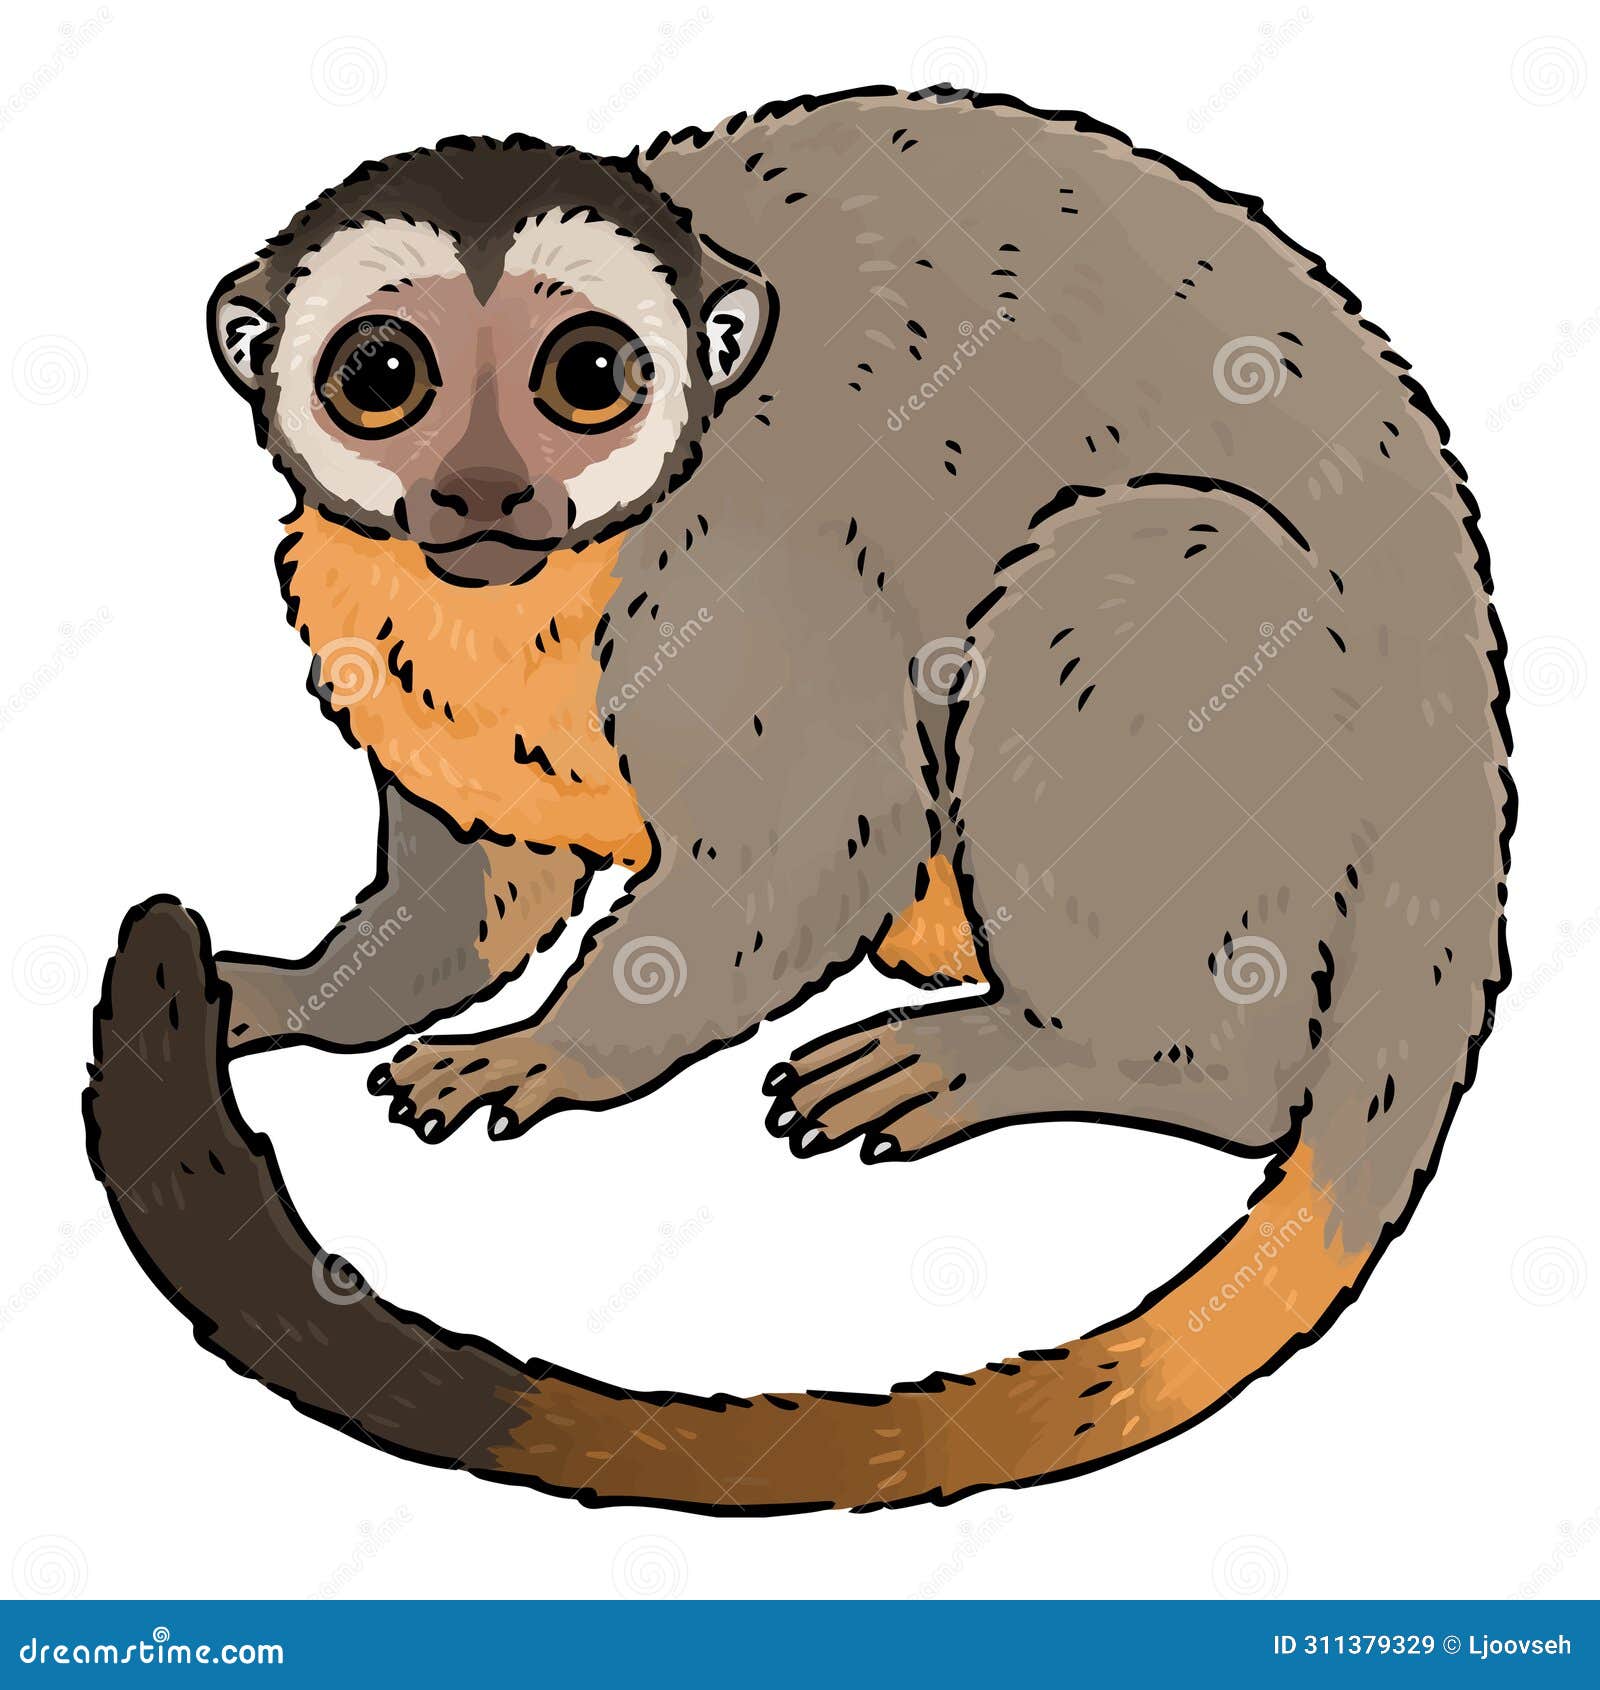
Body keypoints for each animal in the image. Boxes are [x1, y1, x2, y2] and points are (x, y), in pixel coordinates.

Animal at [84, 87, 1511, 1514]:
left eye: (586, 376)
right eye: (381, 376)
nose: (485, 491)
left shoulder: (729, 564)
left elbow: (826, 834)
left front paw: (549, 1051)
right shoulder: (363, 603)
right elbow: (487, 884)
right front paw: (295, 995)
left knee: (1143, 561)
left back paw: (1075, 1056)